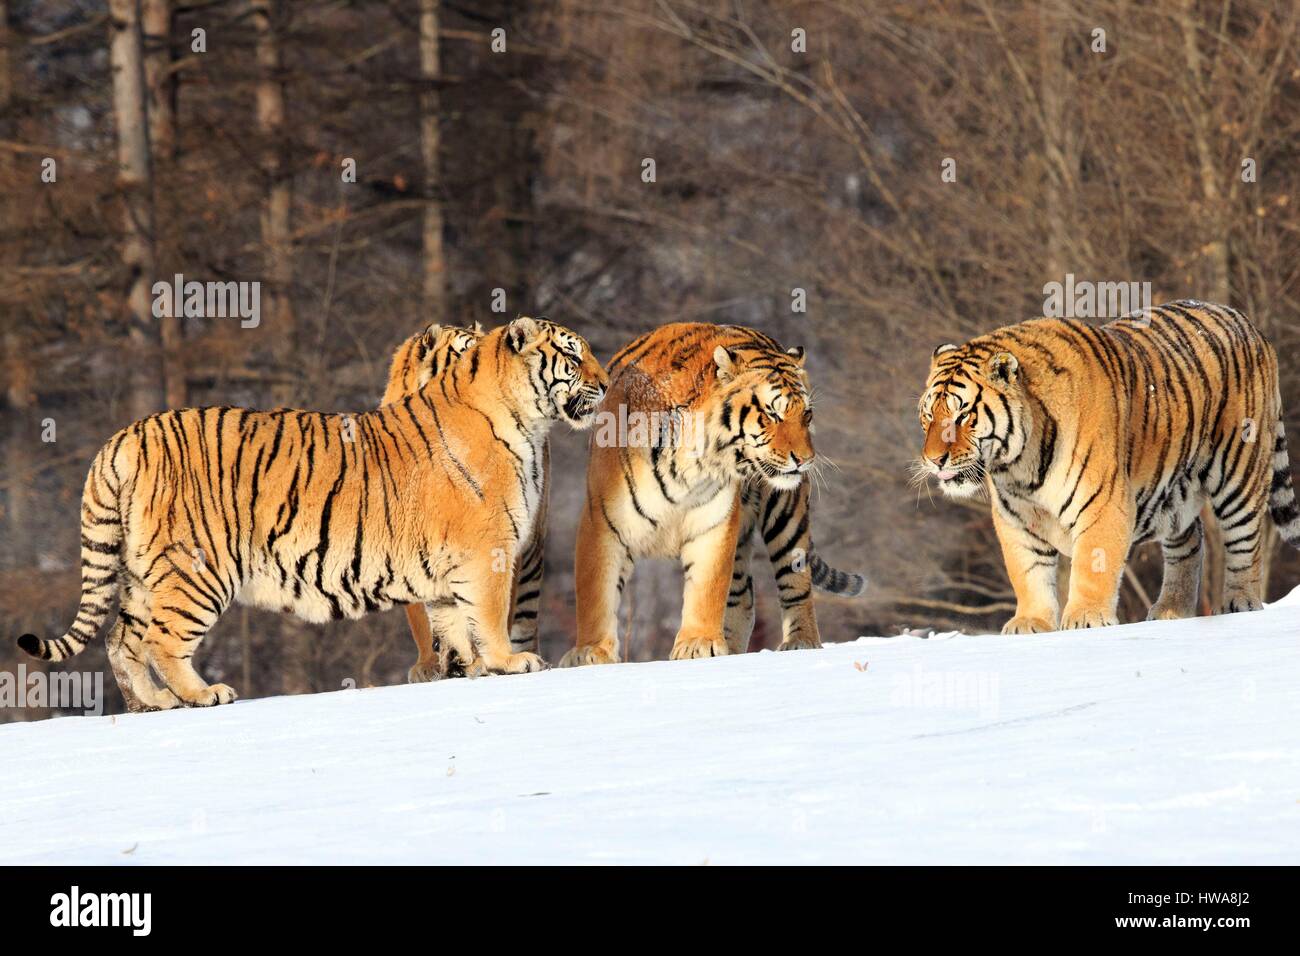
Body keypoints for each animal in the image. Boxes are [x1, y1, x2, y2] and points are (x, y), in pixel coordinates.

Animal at [559, 323, 865, 667]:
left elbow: (707, 587)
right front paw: (589, 653)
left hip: (786, 515)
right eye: (772, 414)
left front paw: (698, 645)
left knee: (794, 580)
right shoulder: (602, 522)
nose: (806, 460)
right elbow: (596, 594)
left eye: (807, 415)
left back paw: (801, 643)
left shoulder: (713, 522)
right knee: (744, 597)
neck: (690, 461)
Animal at [917, 300, 1300, 633]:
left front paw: (1085, 618)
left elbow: (1092, 563)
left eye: (963, 415)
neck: (1020, 467)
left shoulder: (1102, 501)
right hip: (1175, 492)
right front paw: (1031, 623)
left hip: (1239, 471)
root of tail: (1249, 323)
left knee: (1245, 543)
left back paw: (1239, 604)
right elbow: (1028, 572)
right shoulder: (1016, 517)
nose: (934, 460)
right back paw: (1171, 610)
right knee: (1191, 537)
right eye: (929, 416)